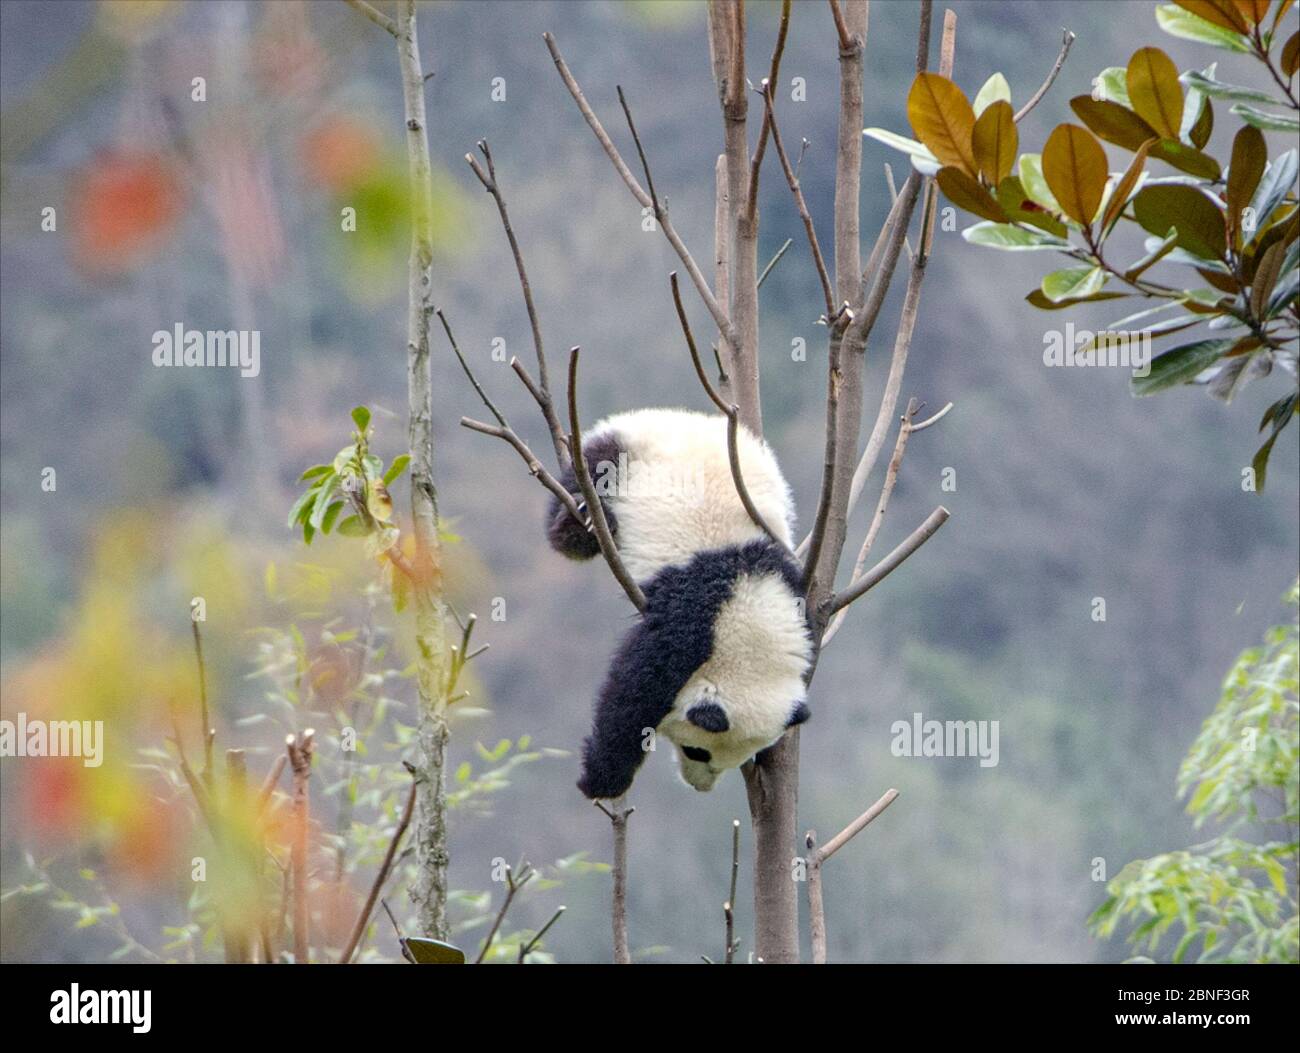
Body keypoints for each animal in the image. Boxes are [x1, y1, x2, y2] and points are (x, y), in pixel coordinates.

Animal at [544, 408, 813, 798]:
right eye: (697, 751)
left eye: (734, 759)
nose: (700, 786)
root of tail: (675, 415)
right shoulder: (684, 629)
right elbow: (631, 699)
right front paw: (601, 779)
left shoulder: (790, 589)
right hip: (616, 456)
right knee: (579, 503)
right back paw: (584, 521)